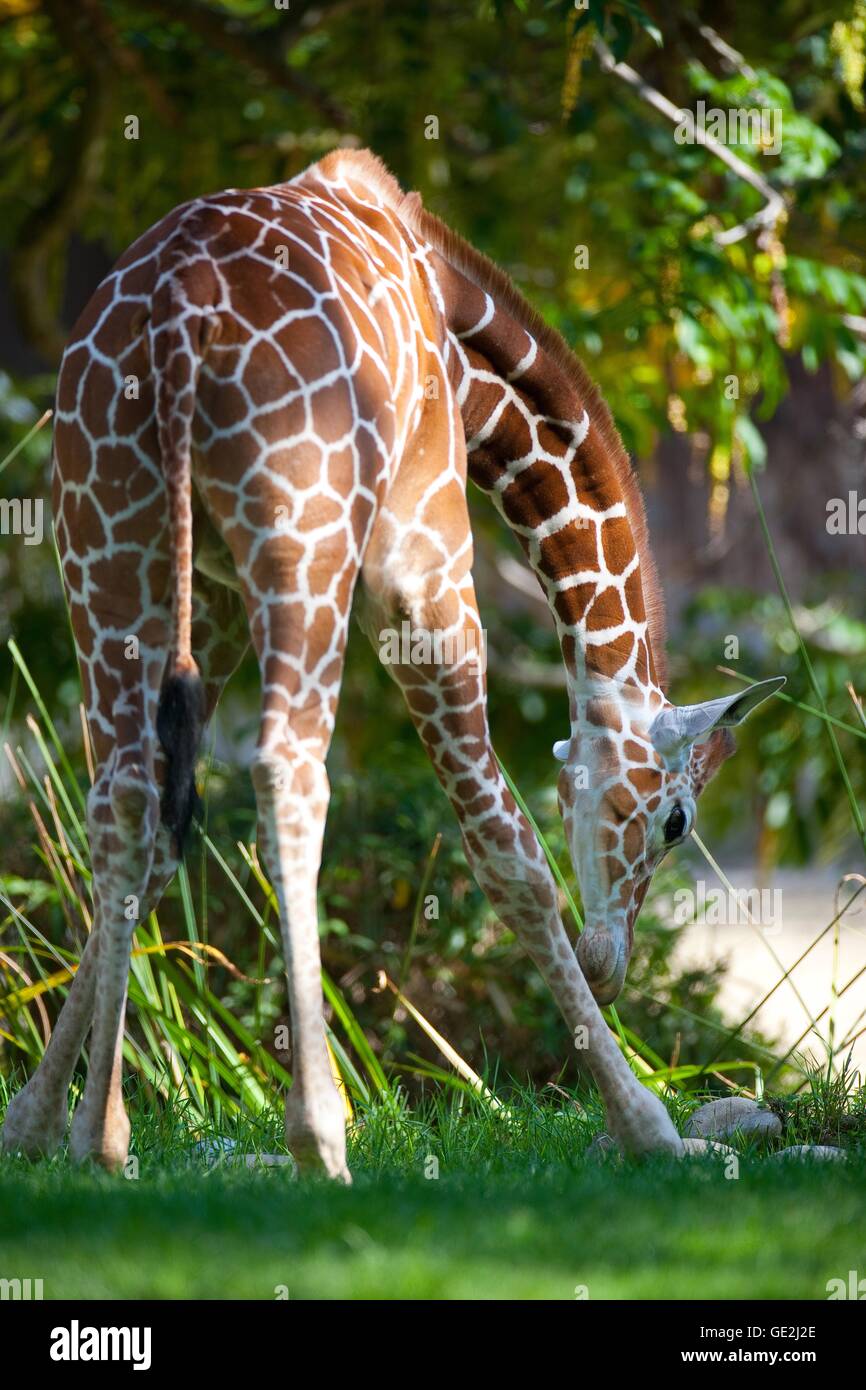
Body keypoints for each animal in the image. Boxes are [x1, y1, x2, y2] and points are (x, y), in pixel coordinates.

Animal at [1, 149, 784, 1178]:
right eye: (675, 823)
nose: (609, 965)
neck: (463, 353)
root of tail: (175, 316)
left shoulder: (210, 605)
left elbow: (156, 840)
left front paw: (40, 1123)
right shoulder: (425, 562)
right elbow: (508, 852)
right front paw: (647, 1125)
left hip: (108, 537)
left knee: (122, 797)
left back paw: (100, 1140)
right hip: (307, 544)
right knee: (288, 772)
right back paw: (319, 1137)